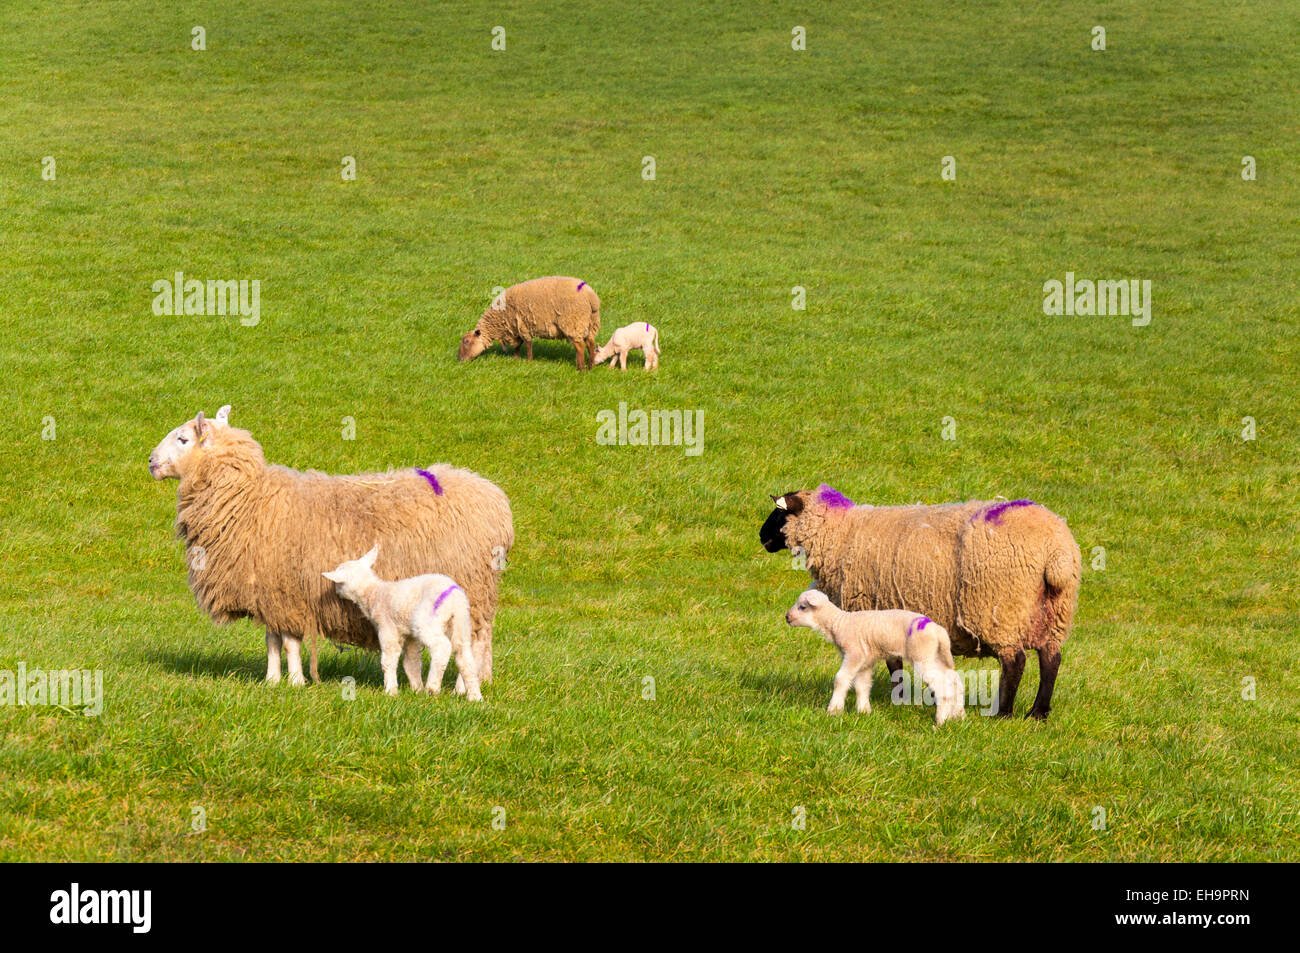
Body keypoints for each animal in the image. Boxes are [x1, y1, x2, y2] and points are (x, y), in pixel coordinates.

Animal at [322, 545, 482, 701]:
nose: (336, 592)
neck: (373, 593)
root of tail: (452, 595)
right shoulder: (410, 636)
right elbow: (411, 662)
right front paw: (417, 689)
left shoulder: (387, 628)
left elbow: (388, 660)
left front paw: (391, 690)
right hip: (461, 621)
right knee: (464, 654)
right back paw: (474, 696)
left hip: (426, 621)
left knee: (442, 647)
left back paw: (433, 687)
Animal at [458, 276, 601, 370]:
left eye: (466, 341)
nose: (459, 360)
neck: (499, 319)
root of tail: (592, 297)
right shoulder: (515, 328)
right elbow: (518, 344)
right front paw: (515, 358)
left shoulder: (522, 325)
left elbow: (527, 344)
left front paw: (529, 361)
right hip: (589, 323)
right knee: (590, 343)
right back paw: (590, 366)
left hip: (573, 322)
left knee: (580, 346)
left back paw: (581, 368)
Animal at [785, 589, 964, 725]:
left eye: (802, 607)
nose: (787, 617)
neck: (838, 623)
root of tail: (938, 630)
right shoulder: (865, 661)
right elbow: (862, 685)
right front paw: (864, 711)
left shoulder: (854, 653)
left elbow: (841, 679)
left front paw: (834, 710)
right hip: (935, 655)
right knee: (954, 680)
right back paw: (958, 715)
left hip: (922, 656)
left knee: (942, 686)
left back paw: (941, 720)